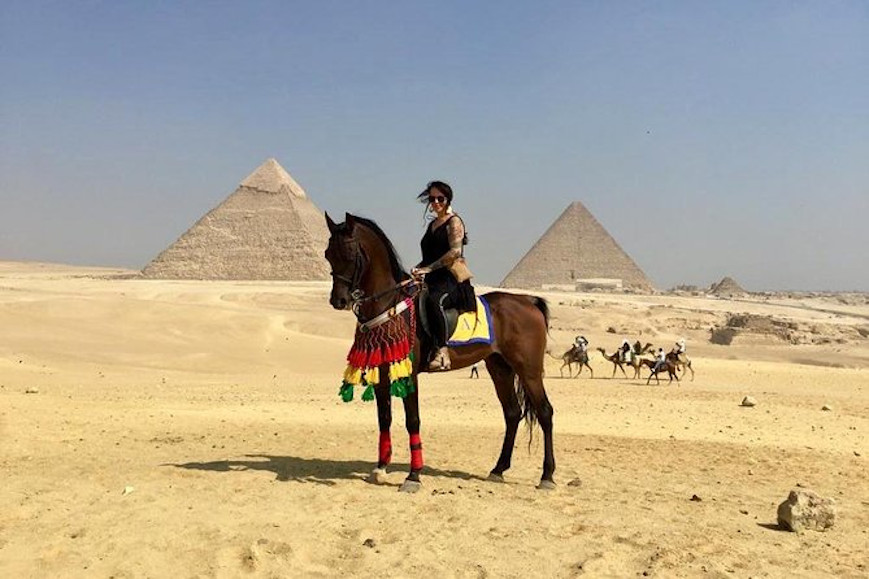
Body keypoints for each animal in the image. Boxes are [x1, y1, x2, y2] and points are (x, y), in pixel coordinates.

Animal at [324, 213, 556, 492]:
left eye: (349, 253)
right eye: (327, 254)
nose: (338, 301)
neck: (389, 304)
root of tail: (528, 301)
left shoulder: (409, 374)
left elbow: (413, 420)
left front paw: (413, 476)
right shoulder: (382, 371)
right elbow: (384, 418)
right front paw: (380, 467)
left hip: (528, 369)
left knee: (545, 412)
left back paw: (547, 476)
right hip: (500, 367)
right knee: (512, 413)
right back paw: (498, 469)